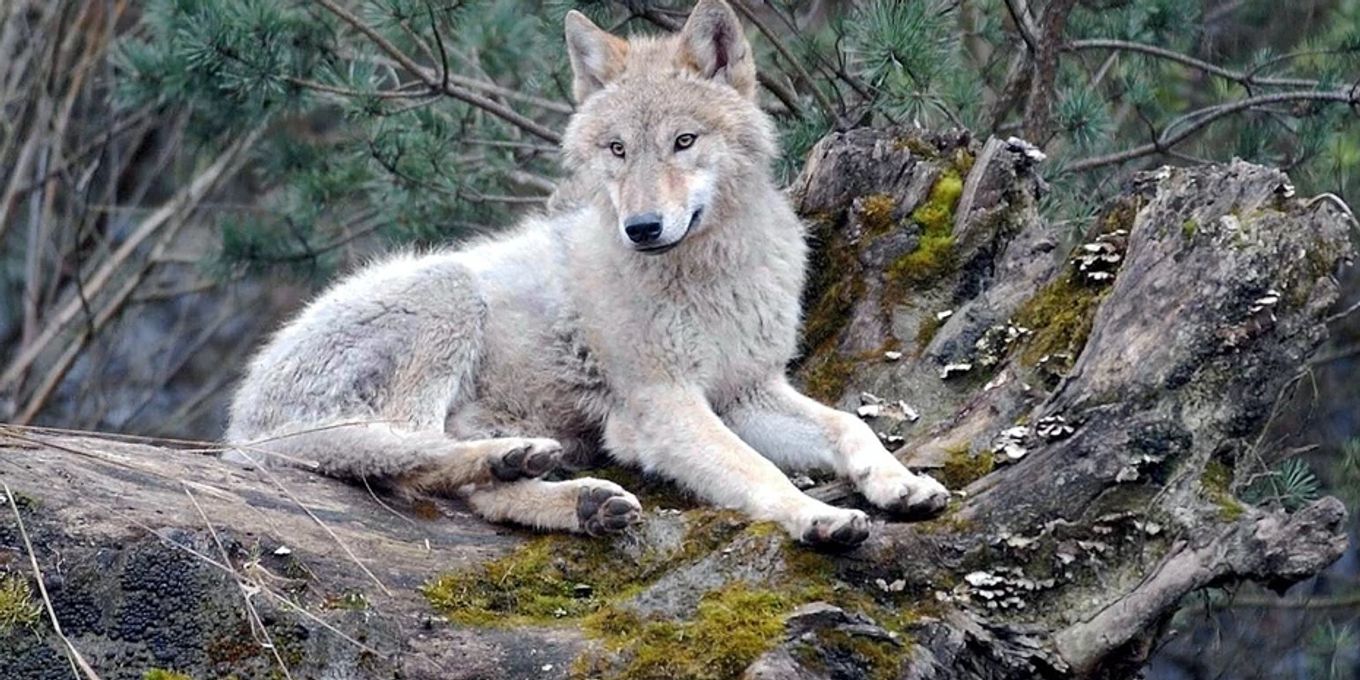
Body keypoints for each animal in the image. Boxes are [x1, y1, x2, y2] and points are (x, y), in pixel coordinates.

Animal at [224, 0, 949, 548]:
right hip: (447, 292)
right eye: (618, 149)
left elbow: (849, 425)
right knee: (410, 457)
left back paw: (576, 499)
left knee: (473, 493)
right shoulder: (663, 406)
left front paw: (900, 483)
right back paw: (520, 462)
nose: (643, 228)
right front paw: (818, 517)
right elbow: (758, 471)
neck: (711, 276)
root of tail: (238, 426)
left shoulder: (745, 392)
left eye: (684, 142)